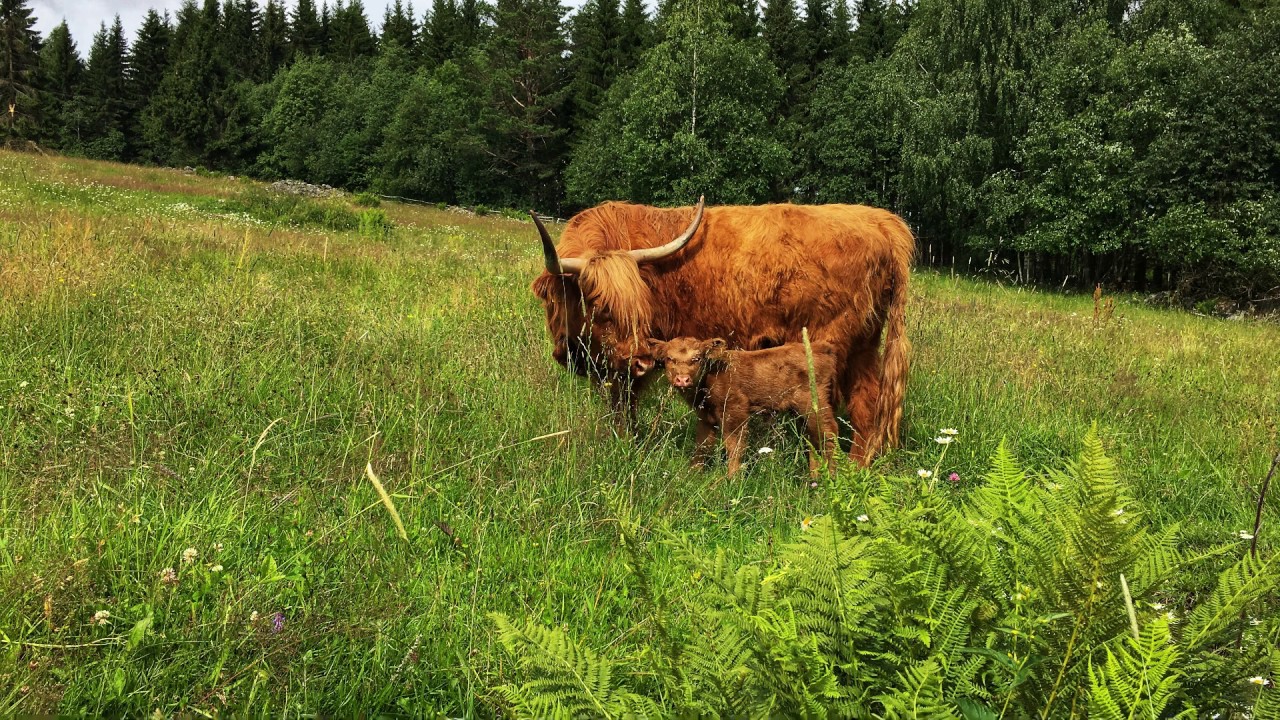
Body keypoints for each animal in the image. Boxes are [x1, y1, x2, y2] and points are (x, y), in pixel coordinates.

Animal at [644, 336, 840, 477]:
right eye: (670, 359)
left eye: (697, 358)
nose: (682, 379)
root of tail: (821, 347)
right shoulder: (705, 417)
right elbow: (702, 445)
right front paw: (692, 475)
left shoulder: (734, 411)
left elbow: (734, 445)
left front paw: (733, 479)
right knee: (813, 438)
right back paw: (814, 479)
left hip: (814, 404)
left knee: (828, 434)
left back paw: (830, 477)